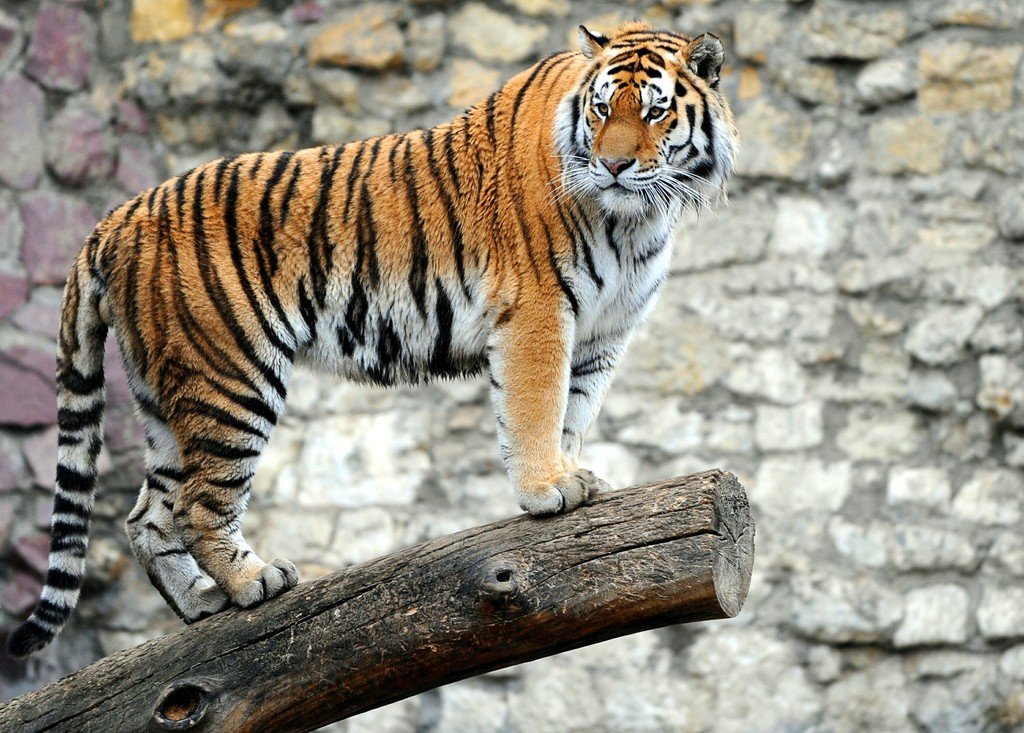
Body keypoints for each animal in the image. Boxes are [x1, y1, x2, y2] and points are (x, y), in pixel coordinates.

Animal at [6, 21, 737, 657]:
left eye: (655, 112)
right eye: (603, 108)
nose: (612, 165)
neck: (634, 219)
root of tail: (115, 218)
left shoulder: (602, 332)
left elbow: (573, 411)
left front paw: (572, 473)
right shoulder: (538, 310)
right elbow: (537, 406)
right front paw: (546, 491)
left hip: (165, 394)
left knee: (146, 517)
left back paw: (201, 606)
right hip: (231, 376)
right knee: (196, 505)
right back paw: (253, 583)